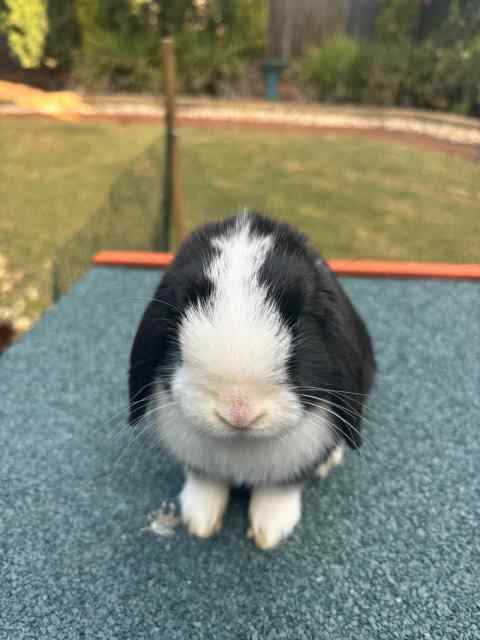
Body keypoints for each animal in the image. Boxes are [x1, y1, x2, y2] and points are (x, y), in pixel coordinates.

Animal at [129, 211, 376, 549]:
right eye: (176, 321)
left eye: (299, 322)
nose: (238, 411)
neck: (240, 444)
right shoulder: (198, 462)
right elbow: (205, 482)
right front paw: (199, 521)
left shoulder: (295, 462)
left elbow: (279, 491)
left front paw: (269, 531)